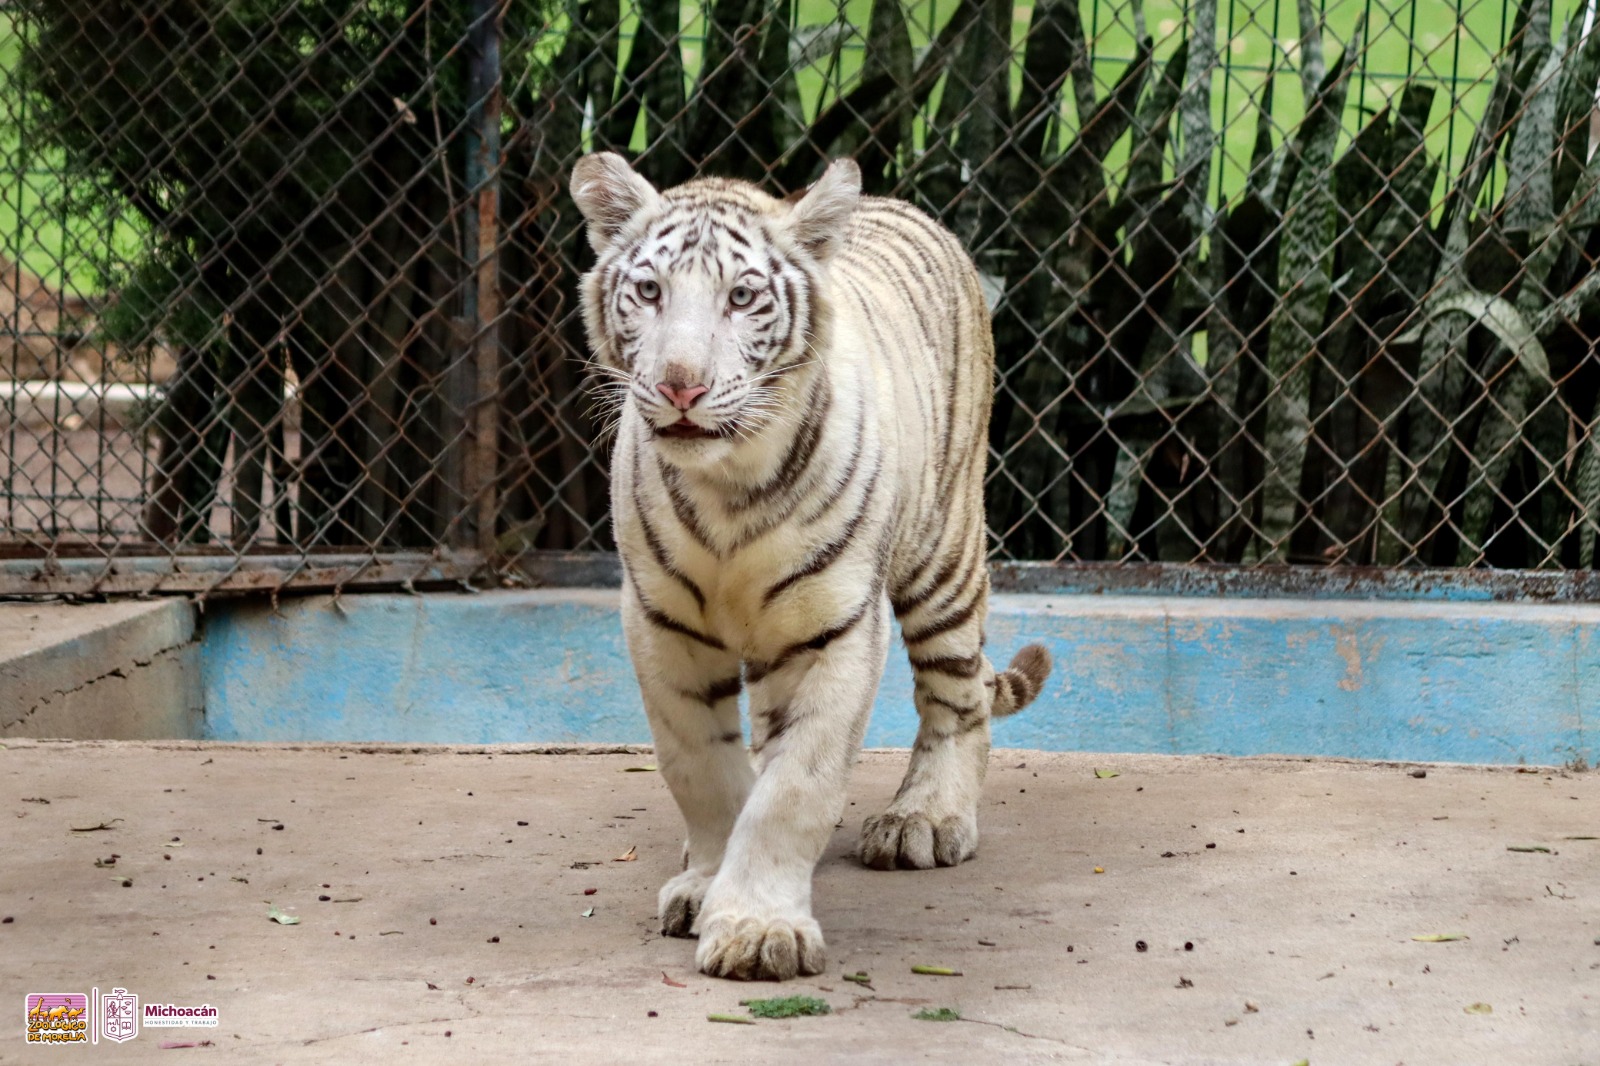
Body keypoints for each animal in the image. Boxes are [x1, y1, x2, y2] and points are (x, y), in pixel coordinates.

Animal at [570, 152, 1053, 982]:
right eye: (650, 291)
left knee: (959, 700)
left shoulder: (838, 626)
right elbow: (700, 769)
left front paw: (759, 927)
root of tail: (902, 204)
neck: (728, 485)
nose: (680, 384)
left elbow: (796, 786)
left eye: (741, 297)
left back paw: (925, 818)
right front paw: (708, 886)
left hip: (944, 556)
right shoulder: (659, 622)